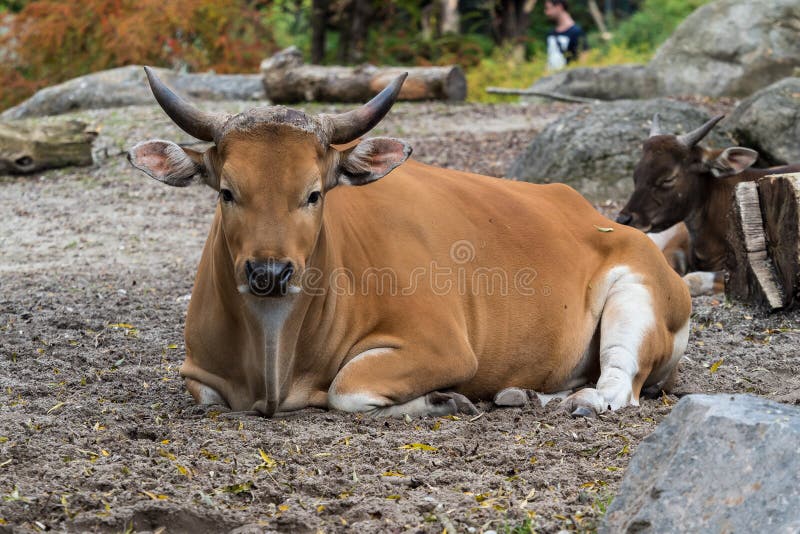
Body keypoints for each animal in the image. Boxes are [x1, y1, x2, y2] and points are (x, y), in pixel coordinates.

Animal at [128, 67, 691, 419]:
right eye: (227, 191)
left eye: (314, 193)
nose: (269, 273)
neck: (274, 360)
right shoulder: (198, 374)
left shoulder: (442, 348)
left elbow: (346, 388)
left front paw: (442, 400)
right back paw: (527, 394)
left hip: (638, 293)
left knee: (620, 380)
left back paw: (582, 401)